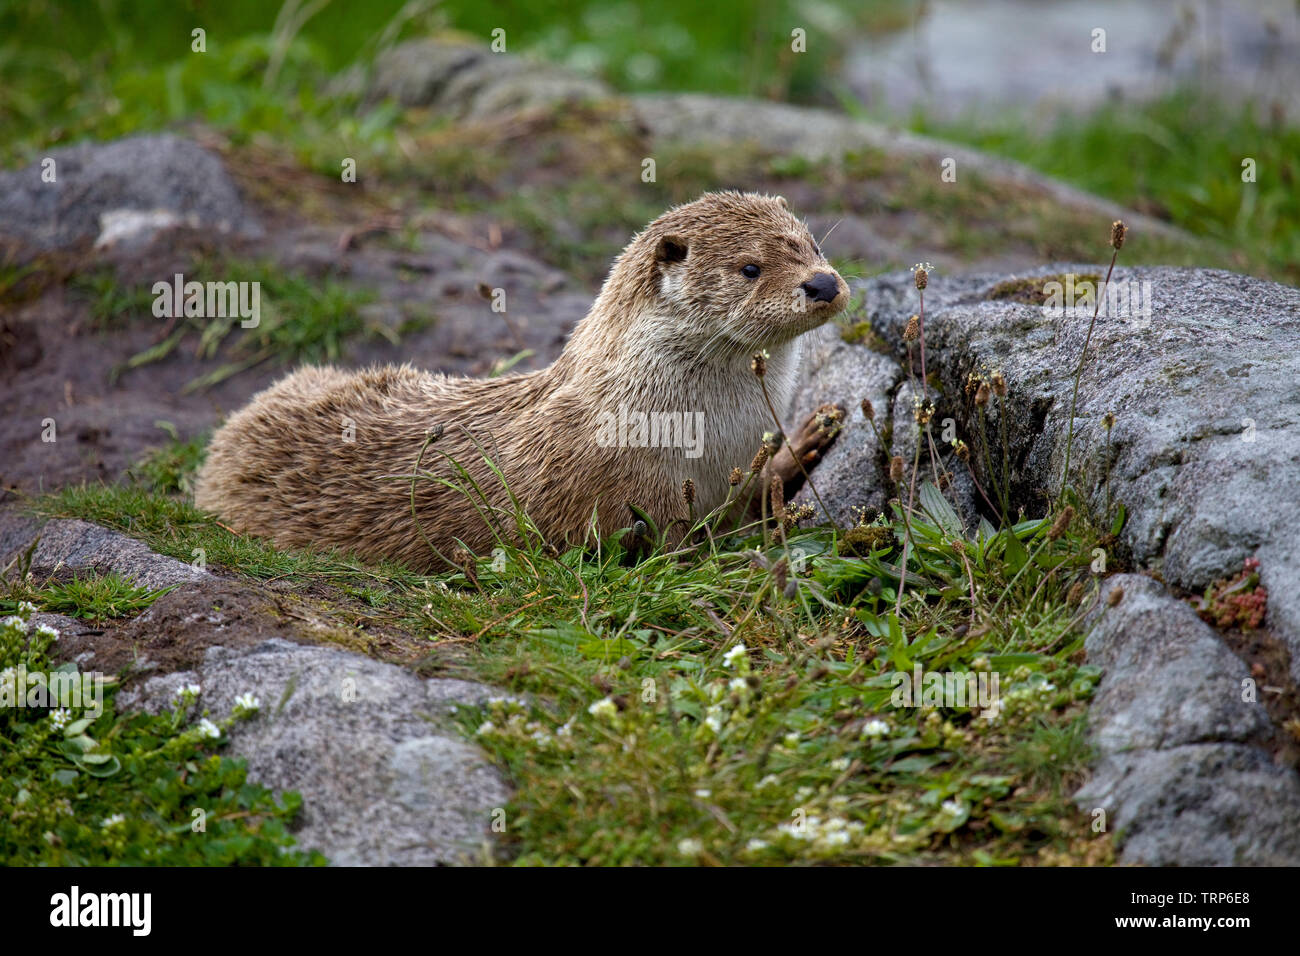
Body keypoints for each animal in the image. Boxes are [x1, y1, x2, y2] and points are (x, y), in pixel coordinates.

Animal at [194, 191, 849, 570]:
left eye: (810, 245)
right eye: (750, 268)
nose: (822, 283)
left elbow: (755, 495)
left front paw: (811, 434)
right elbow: (666, 544)